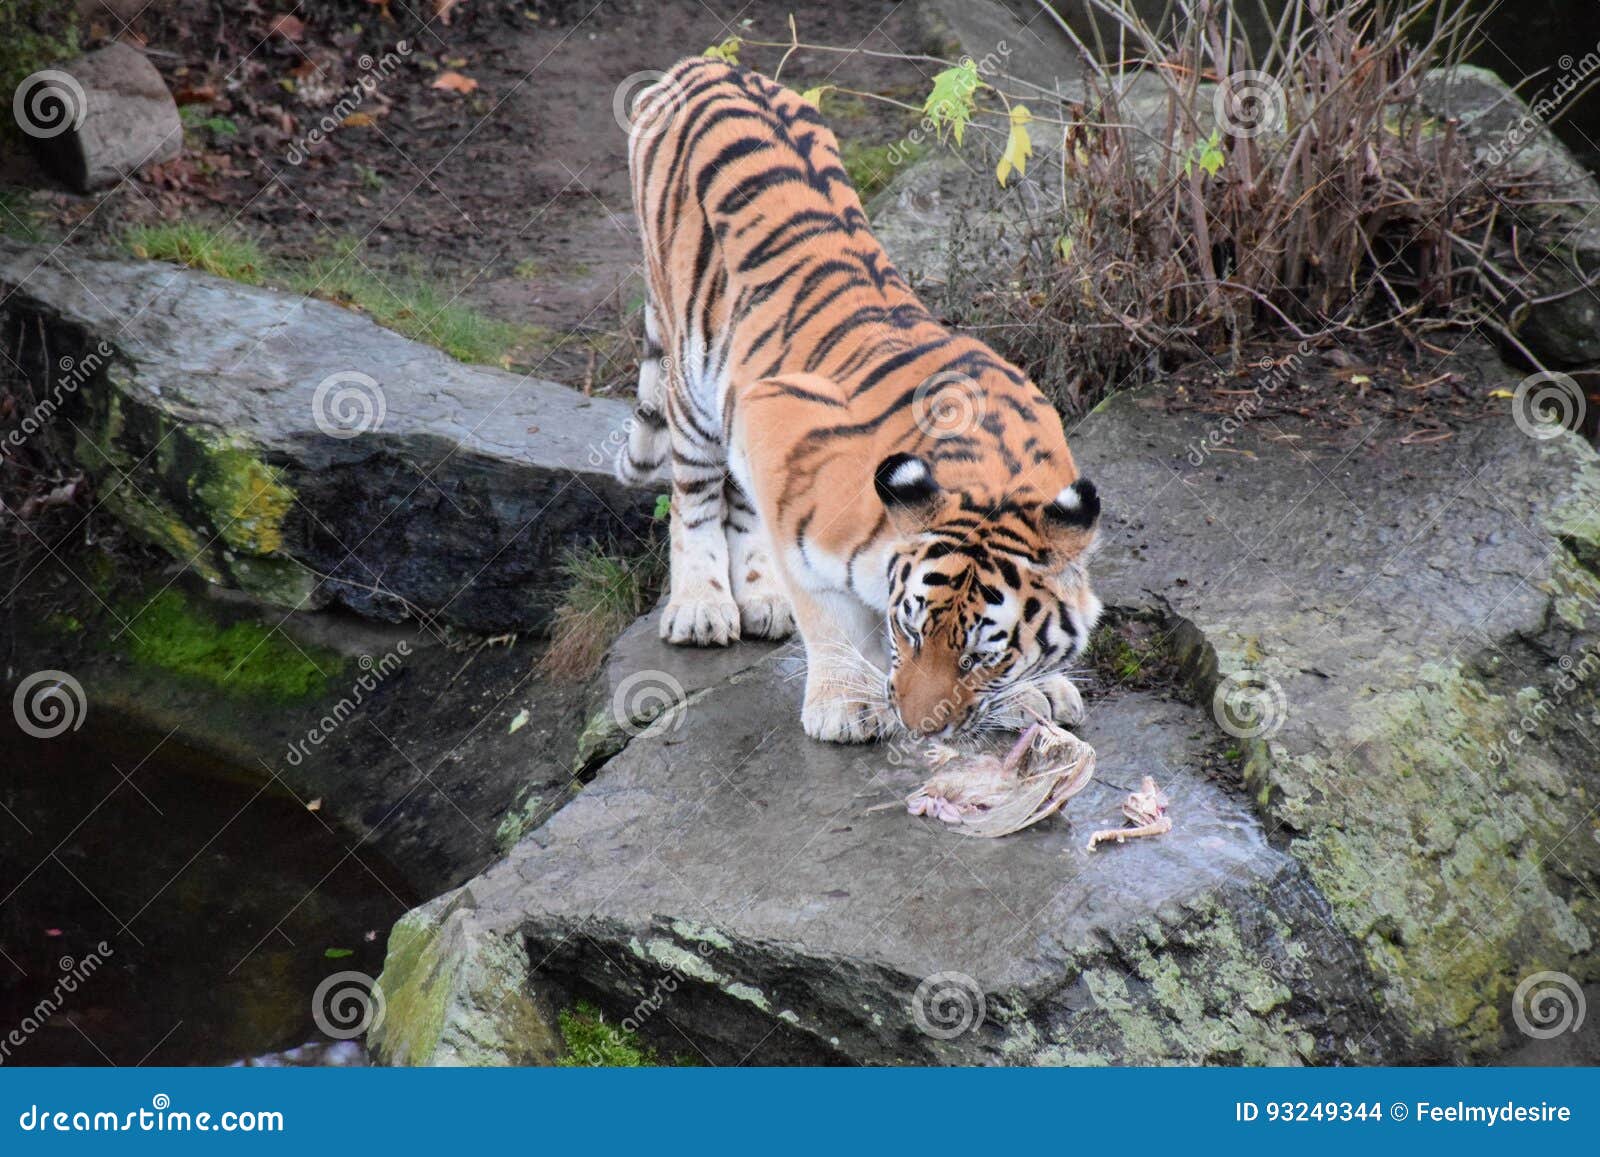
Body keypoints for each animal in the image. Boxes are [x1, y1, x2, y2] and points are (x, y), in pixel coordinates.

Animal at [615, 56, 1102, 744]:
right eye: (911, 629)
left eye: (983, 655)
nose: (921, 727)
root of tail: (706, 63)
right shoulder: (784, 443)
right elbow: (829, 617)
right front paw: (844, 706)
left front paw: (1041, 692)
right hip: (693, 373)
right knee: (695, 495)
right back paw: (702, 608)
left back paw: (761, 599)